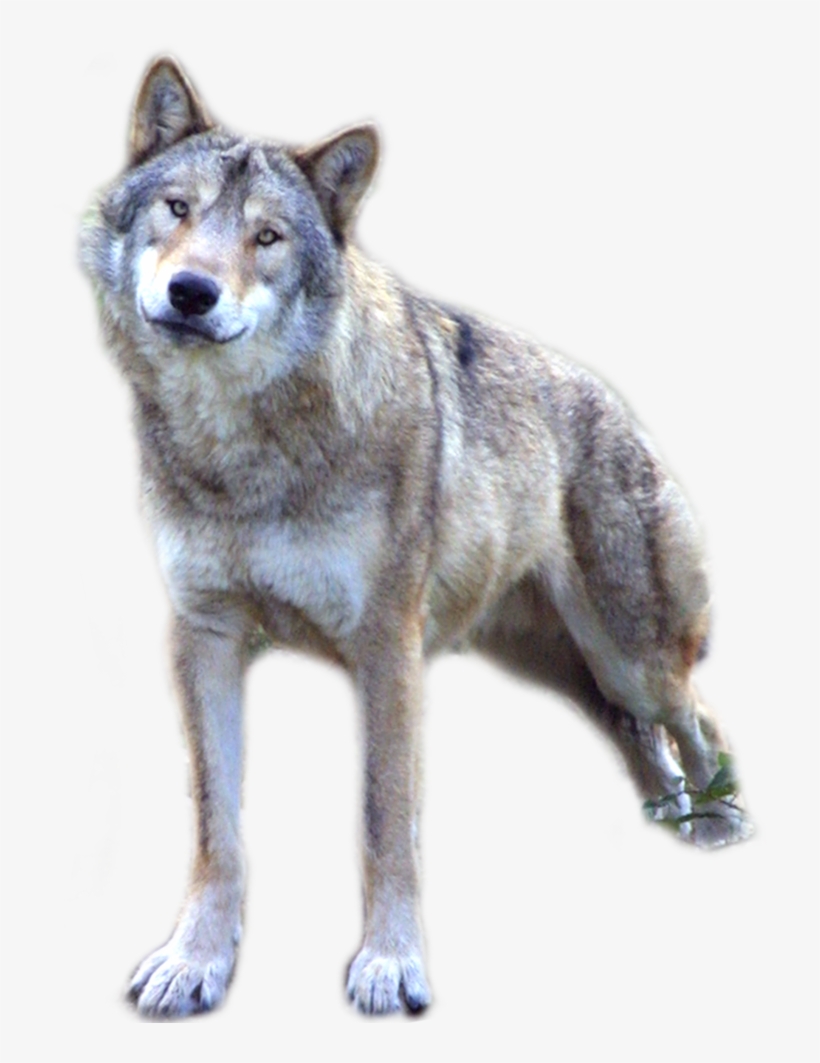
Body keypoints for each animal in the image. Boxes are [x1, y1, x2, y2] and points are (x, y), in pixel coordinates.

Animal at [80, 56, 751, 1018]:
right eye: (177, 208)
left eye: (267, 237)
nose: (192, 292)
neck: (244, 448)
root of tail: (617, 406)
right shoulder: (204, 636)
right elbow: (218, 825)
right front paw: (195, 959)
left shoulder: (386, 648)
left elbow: (383, 818)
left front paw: (390, 964)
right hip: (565, 670)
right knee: (639, 733)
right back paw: (670, 815)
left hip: (632, 658)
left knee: (699, 717)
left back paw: (719, 823)